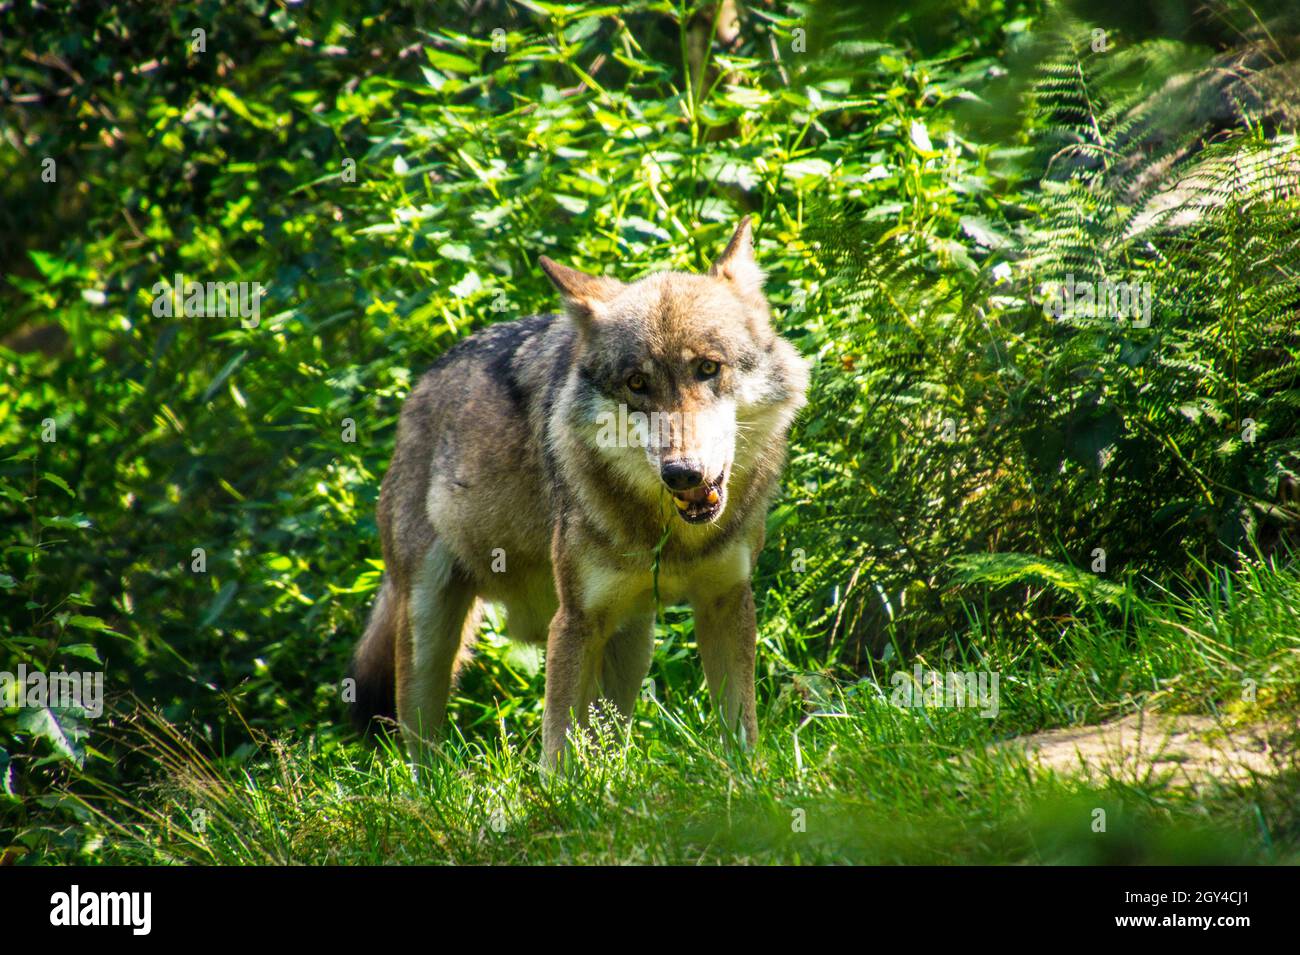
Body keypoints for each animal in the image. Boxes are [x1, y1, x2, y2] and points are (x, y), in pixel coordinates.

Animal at [348, 218, 808, 767]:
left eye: (708, 368)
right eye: (637, 383)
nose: (681, 473)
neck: (671, 536)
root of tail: (420, 385)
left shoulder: (726, 601)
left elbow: (740, 731)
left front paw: (745, 777)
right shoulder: (574, 621)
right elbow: (557, 753)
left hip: (633, 637)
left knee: (609, 736)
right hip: (428, 629)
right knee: (420, 748)